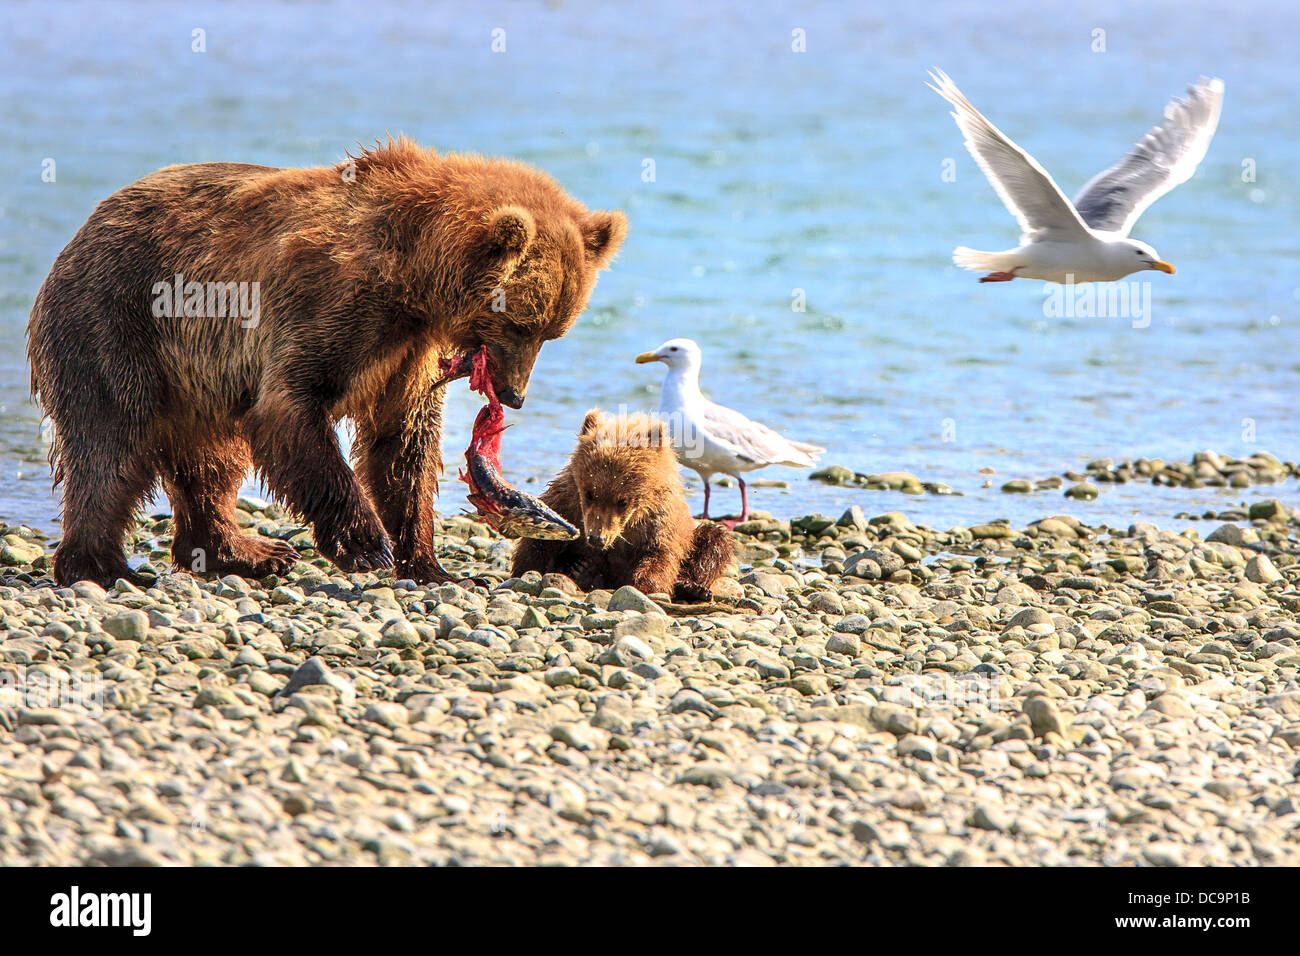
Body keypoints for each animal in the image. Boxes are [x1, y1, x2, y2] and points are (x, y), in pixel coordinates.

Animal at [27, 137, 627, 587]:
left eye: (554, 331)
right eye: (522, 325)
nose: (514, 394)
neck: (412, 280)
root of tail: (80, 233)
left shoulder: (411, 353)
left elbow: (403, 445)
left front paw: (429, 563)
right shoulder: (330, 303)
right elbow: (292, 407)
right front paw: (366, 544)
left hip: (195, 377)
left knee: (210, 463)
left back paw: (242, 552)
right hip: (118, 322)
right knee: (111, 445)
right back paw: (101, 565)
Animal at [510, 409, 734, 602]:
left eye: (622, 500)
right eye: (590, 493)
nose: (597, 538)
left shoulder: (659, 520)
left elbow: (660, 554)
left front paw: (646, 586)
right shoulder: (568, 501)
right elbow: (541, 537)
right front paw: (527, 569)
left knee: (715, 540)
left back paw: (692, 587)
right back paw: (580, 569)